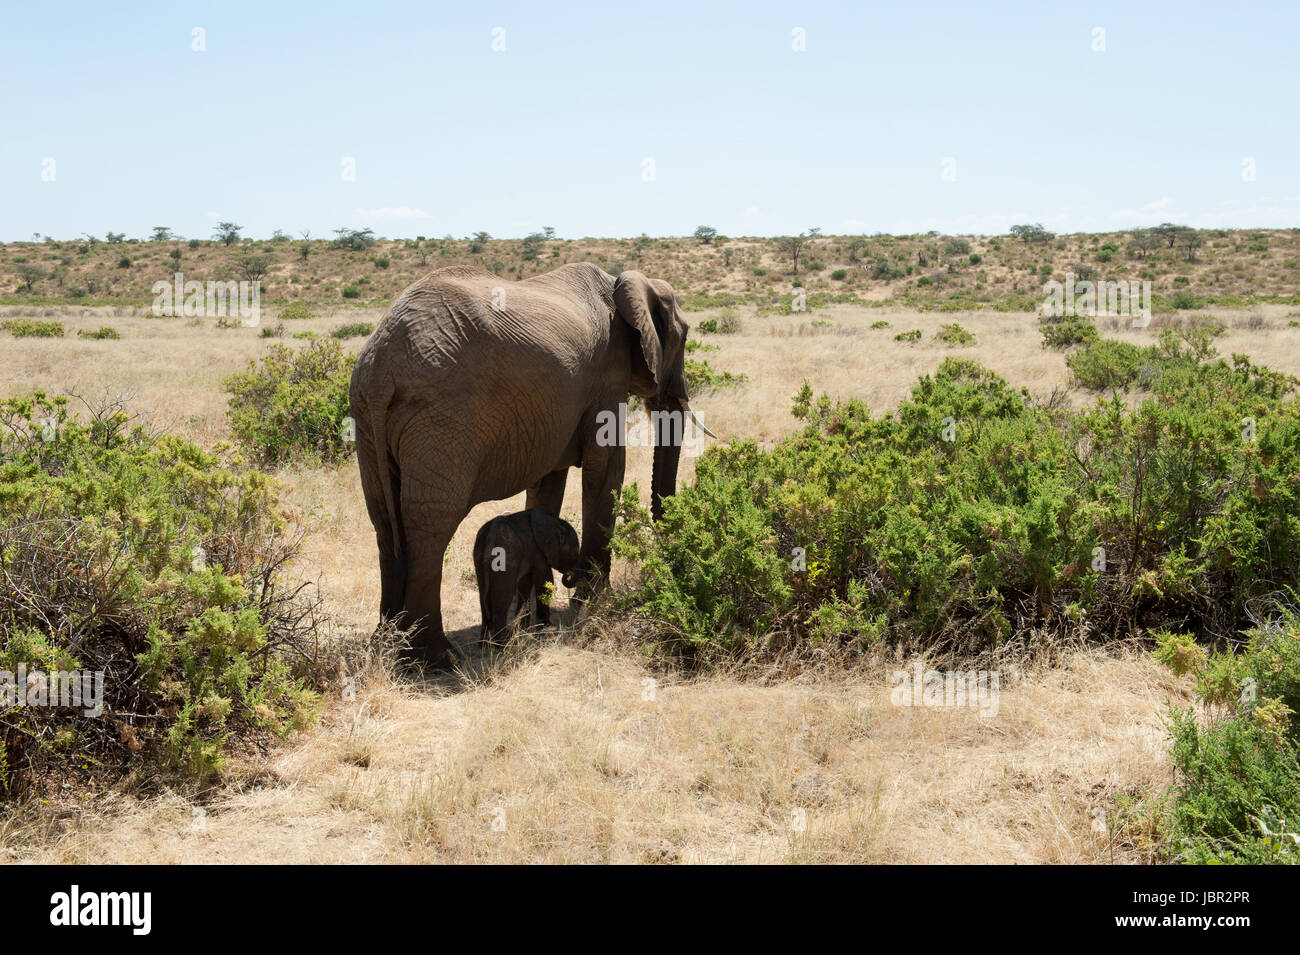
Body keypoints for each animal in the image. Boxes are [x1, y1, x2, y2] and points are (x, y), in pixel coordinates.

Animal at [473, 508, 582, 643]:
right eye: (574, 553)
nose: (568, 574)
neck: (556, 522)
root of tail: (490, 535)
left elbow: (525, 584)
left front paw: (523, 629)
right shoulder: (538, 551)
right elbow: (545, 580)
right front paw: (546, 627)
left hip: (479, 559)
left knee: (483, 600)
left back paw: (484, 644)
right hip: (504, 558)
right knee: (504, 598)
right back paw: (502, 643)